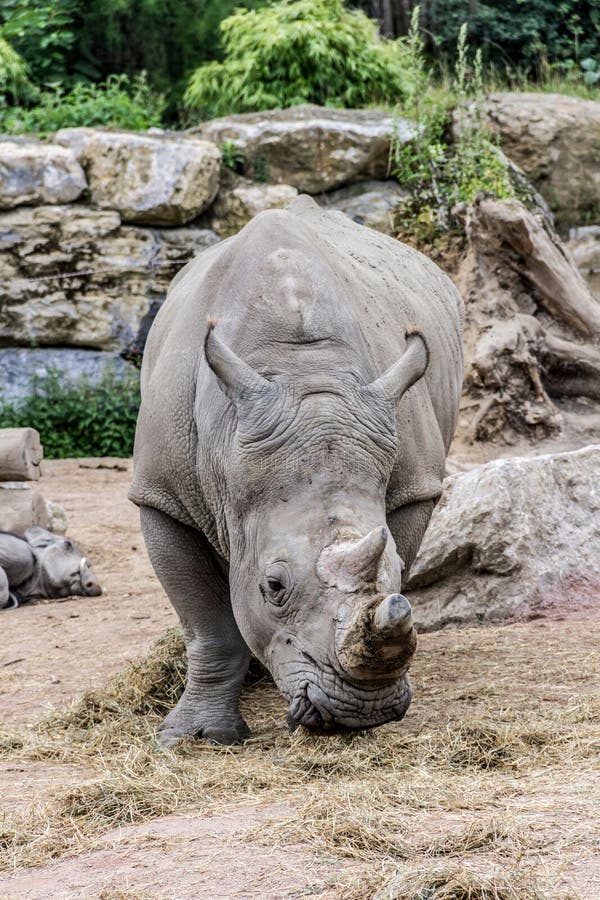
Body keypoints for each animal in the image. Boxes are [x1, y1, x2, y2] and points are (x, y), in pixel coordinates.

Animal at [130, 195, 463, 746]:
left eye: (398, 571)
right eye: (273, 586)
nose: (360, 712)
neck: (301, 370)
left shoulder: (416, 486)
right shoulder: (161, 496)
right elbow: (209, 626)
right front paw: (195, 738)